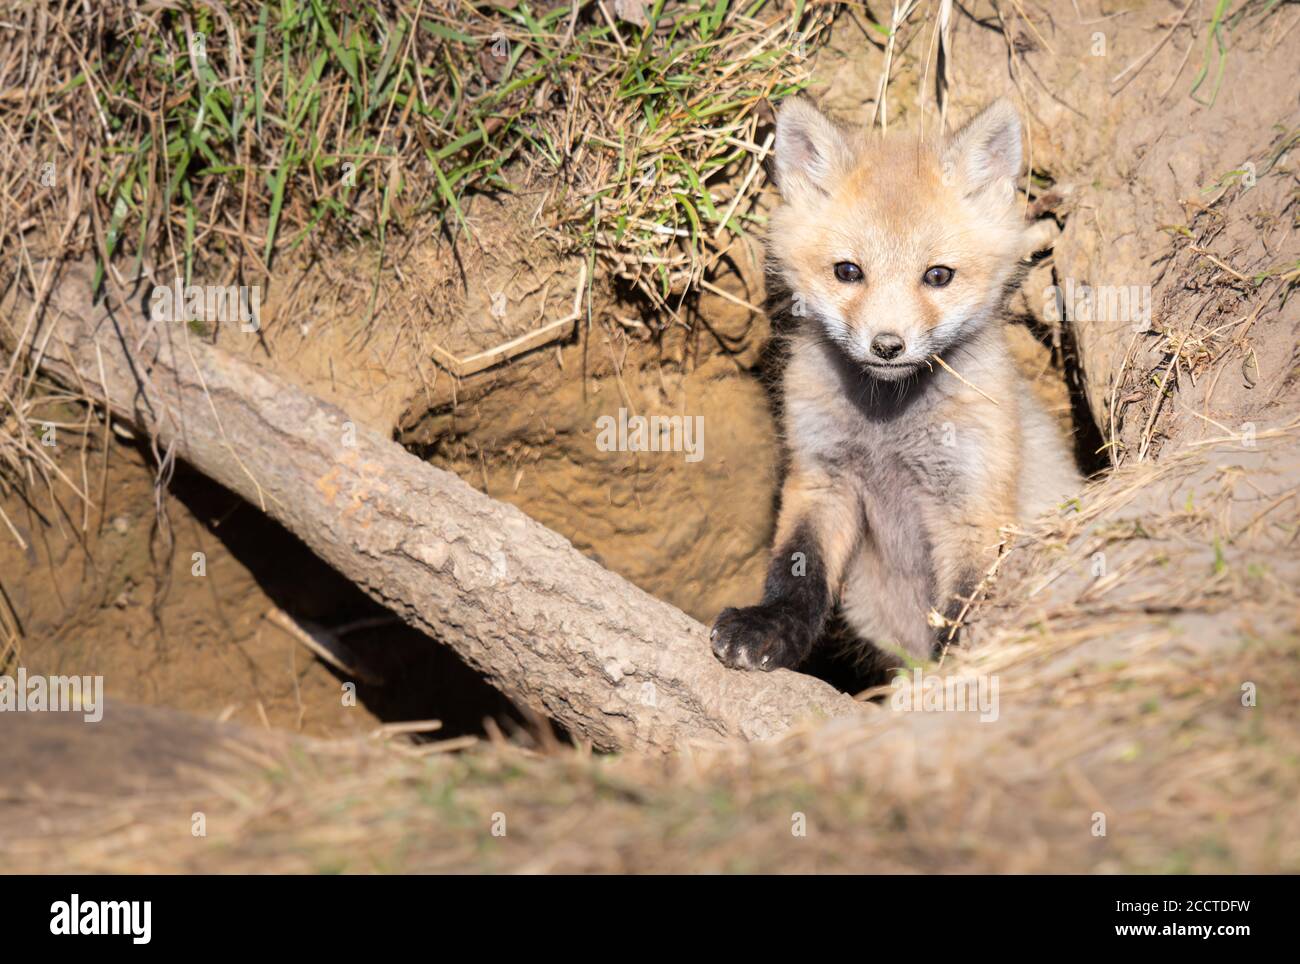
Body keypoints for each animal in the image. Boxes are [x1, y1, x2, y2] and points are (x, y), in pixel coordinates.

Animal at [710, 97, 1082, 674]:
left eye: (938, 276)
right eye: (847, 271)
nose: (887, 346)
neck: (888, 426)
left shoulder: (974, 502)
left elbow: (962, 608)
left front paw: (959, 667)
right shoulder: (822, 477)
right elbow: (796, 569)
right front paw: (768, 627)